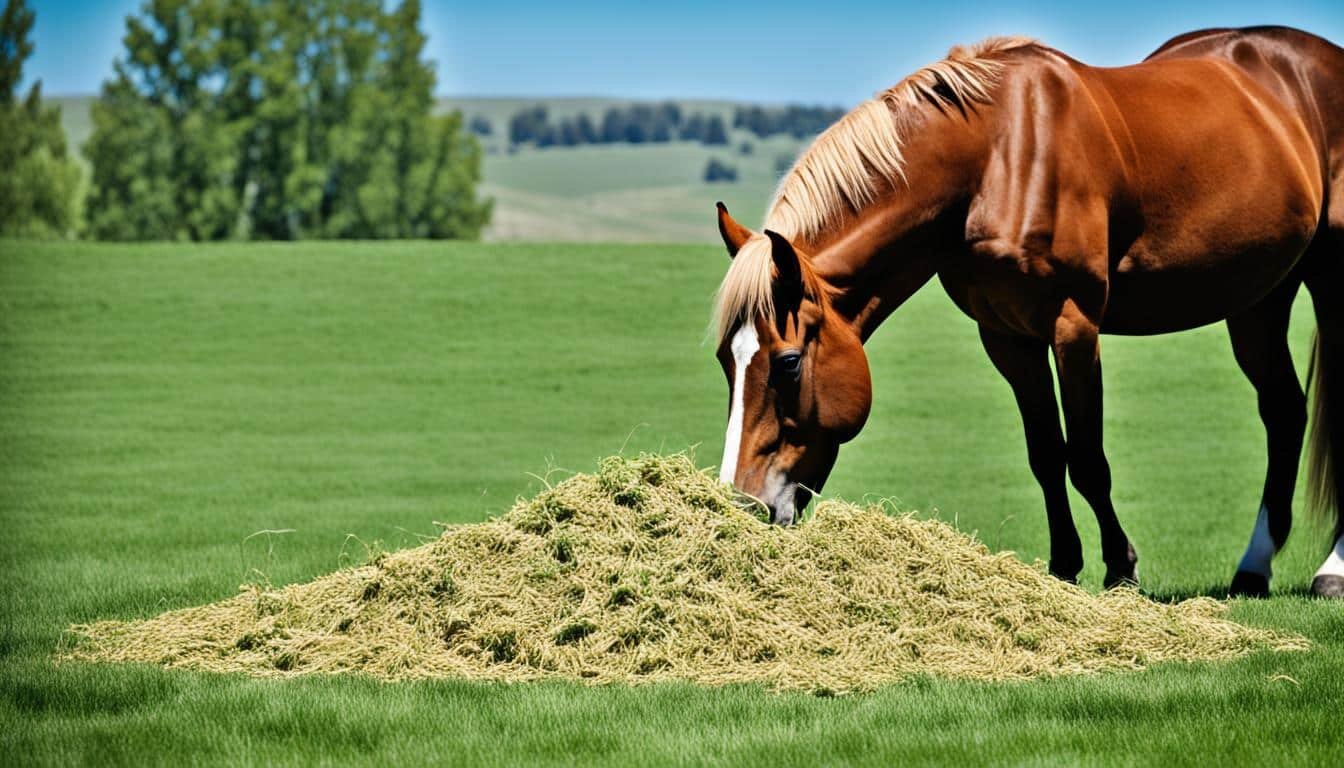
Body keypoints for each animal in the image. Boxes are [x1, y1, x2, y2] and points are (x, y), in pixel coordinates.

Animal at [711, 27, 1344, 598]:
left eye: (788, 362)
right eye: (725, 360)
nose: (743, 503)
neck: (998, 158)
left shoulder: (1074, 326)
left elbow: (1086, 458)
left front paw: (1121, 569)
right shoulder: (1007, 336)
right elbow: (1046, 455)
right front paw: (1064, 567)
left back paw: (1330, 572)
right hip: (1259, 299)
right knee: (1285, 412)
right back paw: (1253, 568)